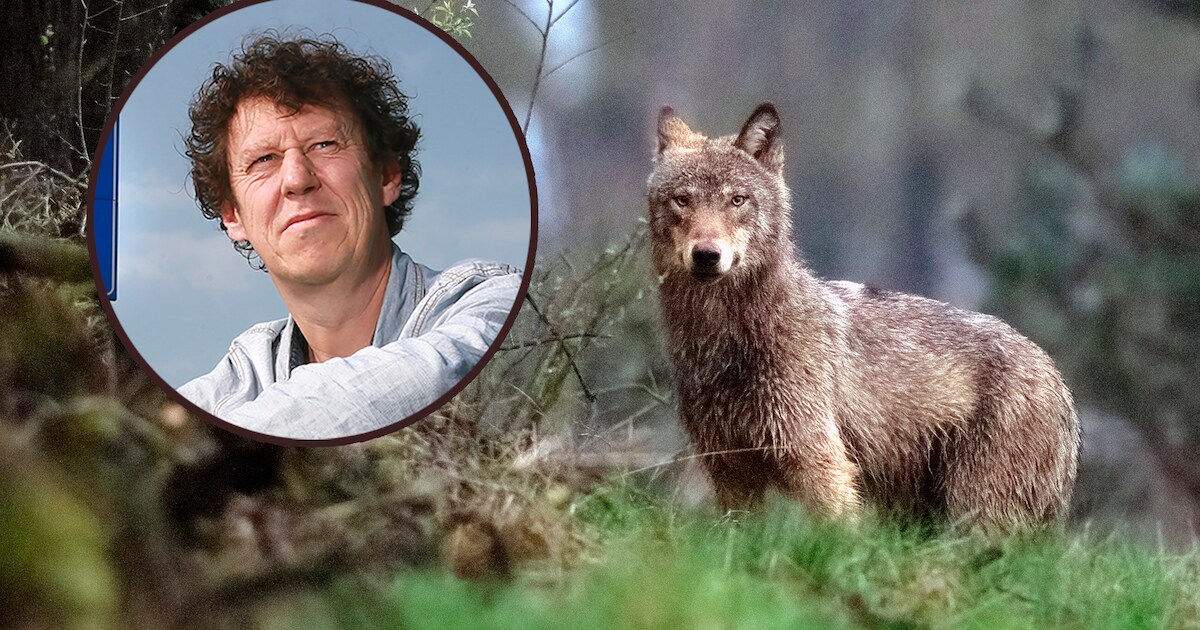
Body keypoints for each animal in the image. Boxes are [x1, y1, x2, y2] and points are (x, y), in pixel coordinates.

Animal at [647, 103, 1080, 531]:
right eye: (682, 201)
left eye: (737, 200)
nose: (707, 255)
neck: (723, 341)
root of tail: (1058, 379)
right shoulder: (729, 470)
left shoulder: (818, 460)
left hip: (973, 510)